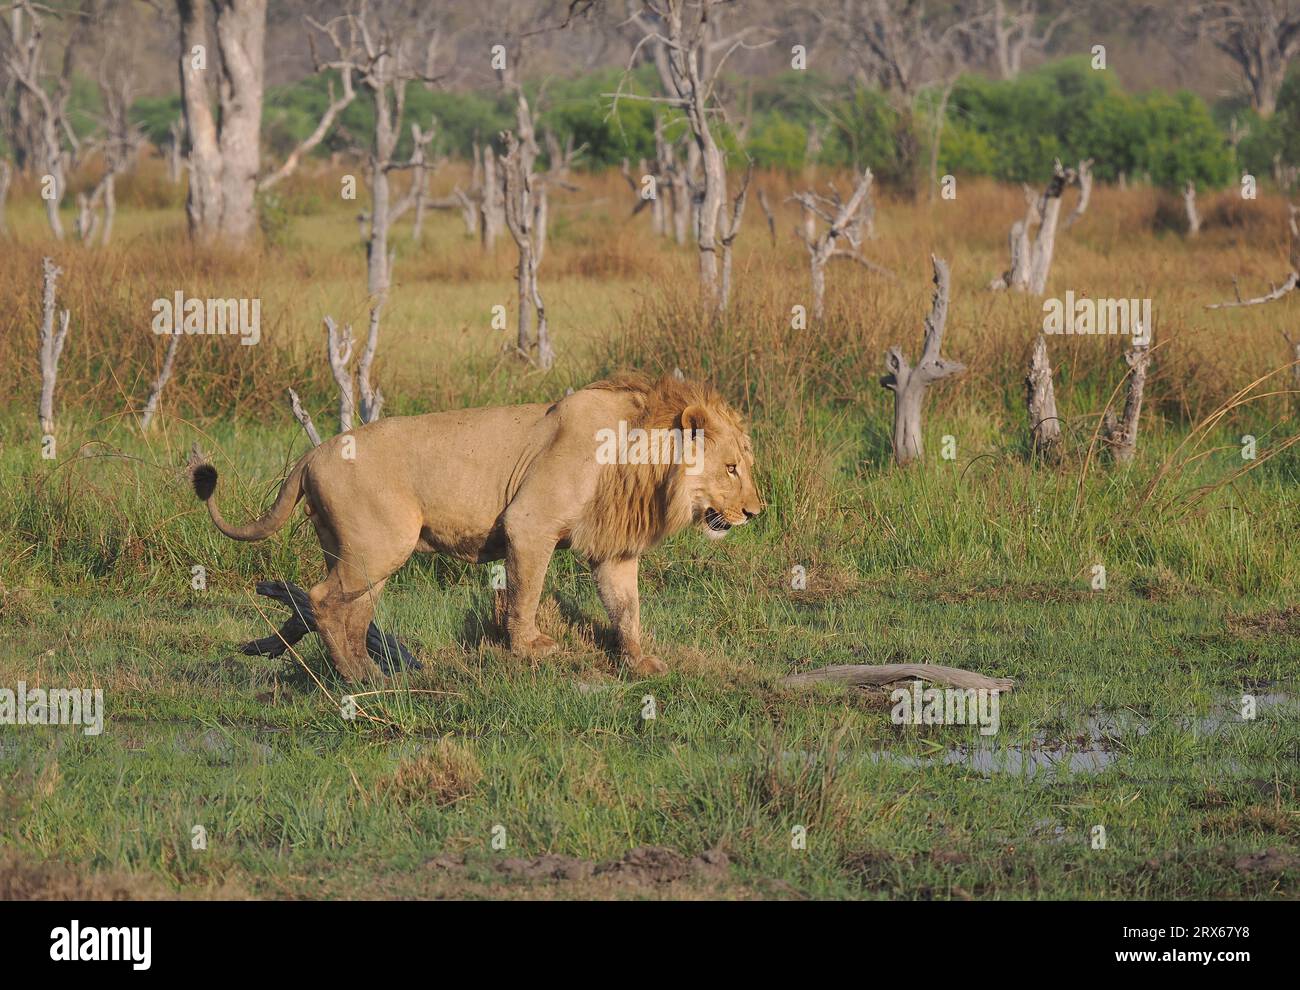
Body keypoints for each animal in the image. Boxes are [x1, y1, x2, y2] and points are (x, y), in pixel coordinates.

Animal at [189, 374, 763, 682]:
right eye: (732, 468)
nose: (755, 513)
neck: (640, 458)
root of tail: (313, 453)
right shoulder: (528, 523)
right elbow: (526, 592)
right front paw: (530, 649)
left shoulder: (613, 551)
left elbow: (627, 608)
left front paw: (640, 662)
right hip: (380, 546)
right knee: (324, 600)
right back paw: (357, 676)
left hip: (361, 552)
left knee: (351, 611)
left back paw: (372, 675)